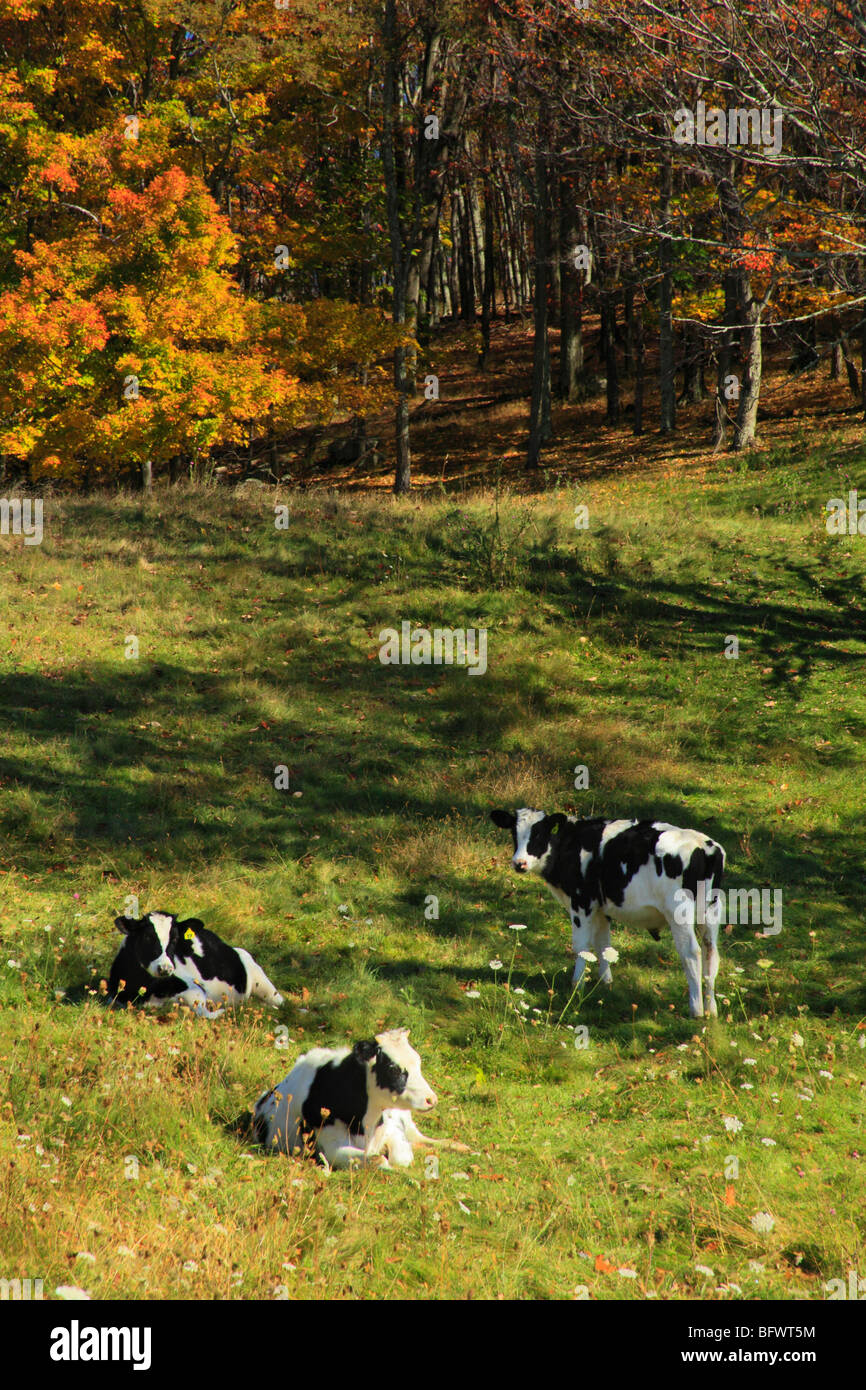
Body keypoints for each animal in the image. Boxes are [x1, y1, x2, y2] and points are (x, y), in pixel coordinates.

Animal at [108, 911, 284, 1019]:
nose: (165, 968)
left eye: (175, 938)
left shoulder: (195, 988)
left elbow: (207, 1013)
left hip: (261, 980)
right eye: (147, 937)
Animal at [490, 808, 726, 1018]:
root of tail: (705, 846)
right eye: (514, 832)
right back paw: (711, 1010)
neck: (572, 845)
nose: (519, 863)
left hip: (679, 912)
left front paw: (577, 985)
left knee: (691, 953)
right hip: (711, 911)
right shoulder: (602, 909)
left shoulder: (581, 902)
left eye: (539, 834)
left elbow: (581, 946)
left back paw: (696, 1009)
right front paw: (606, 983)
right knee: (711, 952)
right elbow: (603, 944)